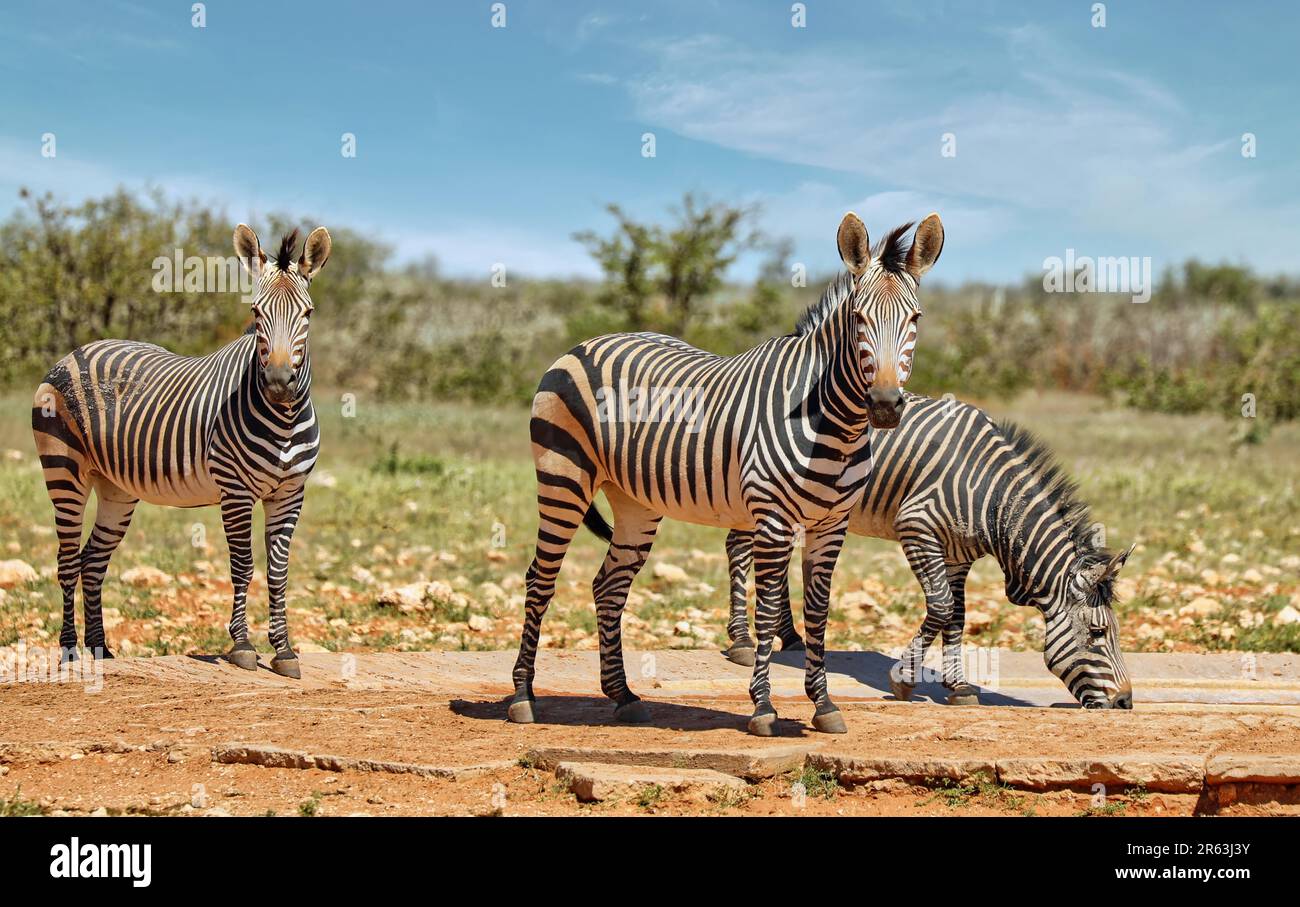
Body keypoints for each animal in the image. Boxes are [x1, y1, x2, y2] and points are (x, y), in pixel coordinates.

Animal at [30, 225, 331, 678]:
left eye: (308, 314)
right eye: (256, 313)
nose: (279, 382)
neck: (282, 419)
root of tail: (77, 351)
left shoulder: (290, 494)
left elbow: (278, 571)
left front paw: (284, 651)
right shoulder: (235, 490)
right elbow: (243, 565)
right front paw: (243, 646)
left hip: (116, 489)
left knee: (92, 562)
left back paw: (100, 648)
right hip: (63, 471)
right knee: (67, 561)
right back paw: (69, 651)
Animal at [509, 212, 944, 736]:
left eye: (916, 319)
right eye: (858, 318)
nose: (883, 405)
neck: (831, 421)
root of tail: (586, 342)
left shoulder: (831, 525)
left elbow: (819, 613)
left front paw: (823, 704)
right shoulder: (773, 519)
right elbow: (768, 611)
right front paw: (763, 707)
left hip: (634, 501)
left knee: (608, 586)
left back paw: (623, 695)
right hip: (563, 478)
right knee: (540, 579)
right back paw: (524, 696)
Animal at [718, 393, 1134, 709]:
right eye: (1098, 633)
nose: (1125, 703)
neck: (990, 497)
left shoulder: (958, 556)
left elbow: (957, 617)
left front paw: (958, 686)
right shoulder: (917, 528)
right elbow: (941, 607)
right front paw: (903, 677)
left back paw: (788, 637)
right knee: (738, 546)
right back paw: (742, 641)